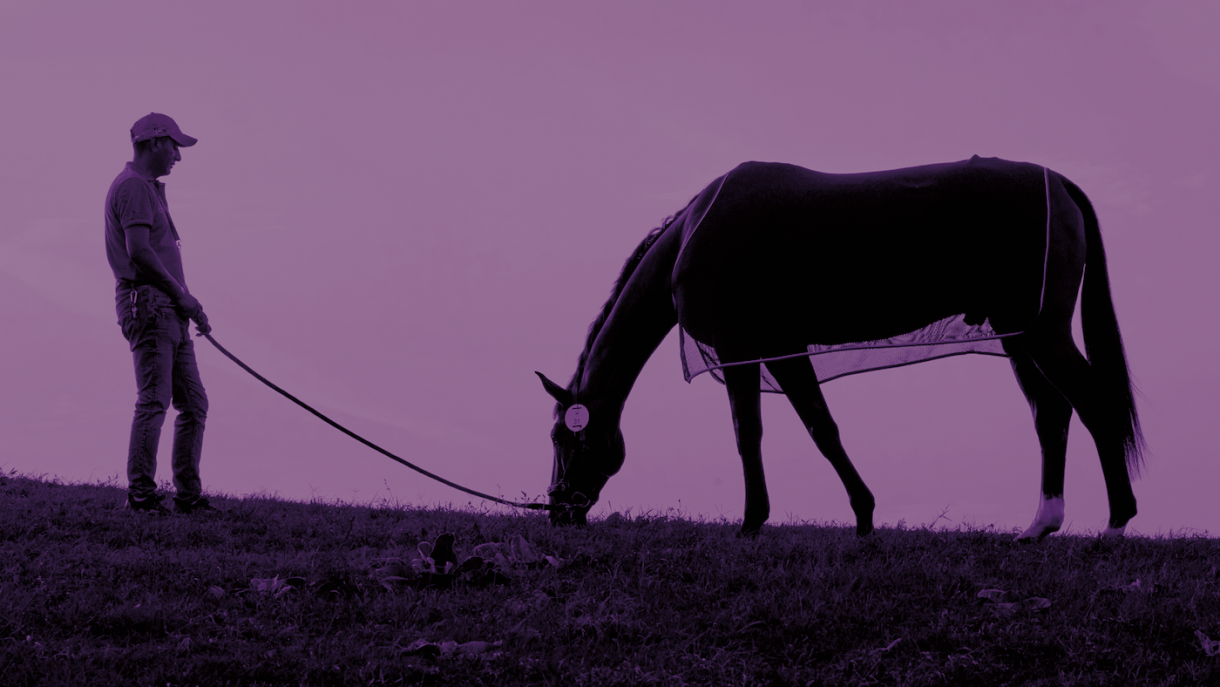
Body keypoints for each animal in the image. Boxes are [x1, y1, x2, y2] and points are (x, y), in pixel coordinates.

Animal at [537, 156, 1145, 540]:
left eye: (563, 437)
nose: (557, 509)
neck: (695, 233)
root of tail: (1059, 183)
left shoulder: (740, 351)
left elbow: (749, 433)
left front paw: (752, 522)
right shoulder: (781, 350)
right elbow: (821, 427)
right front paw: (864, 516)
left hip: (1042, 333)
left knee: (1093, 404)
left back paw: (1116, 524)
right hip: (1019, 337)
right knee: (1053, 414)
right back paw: (1040, 526)